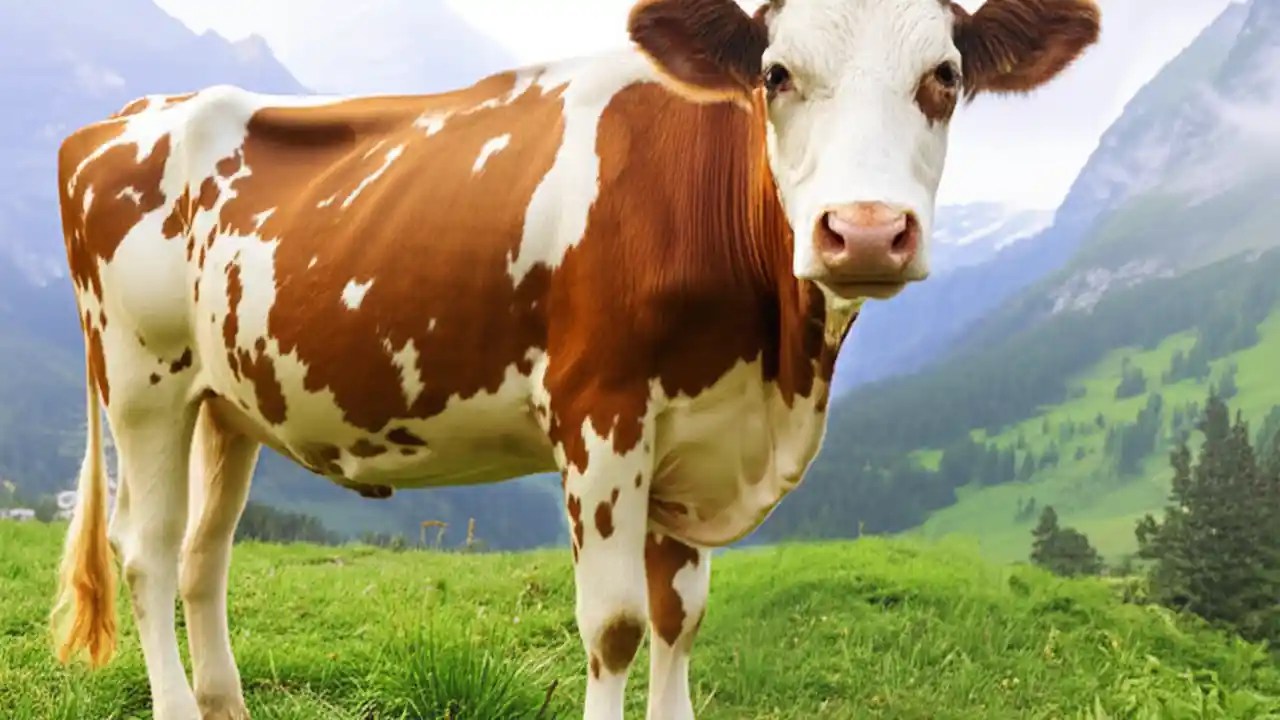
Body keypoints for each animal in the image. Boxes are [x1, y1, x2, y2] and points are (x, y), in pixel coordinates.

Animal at [49, 0, 1099, 717]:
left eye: (945, 75)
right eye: (775, 74)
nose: (868, 231)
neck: (777, 369)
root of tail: (120, 118)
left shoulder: (695, 438)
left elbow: (682, 618)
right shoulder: (603, 415)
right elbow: (617, 625)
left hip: (228, 402)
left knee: (203, 556)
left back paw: (226, 704)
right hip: (143, 380)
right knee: (147, 553)